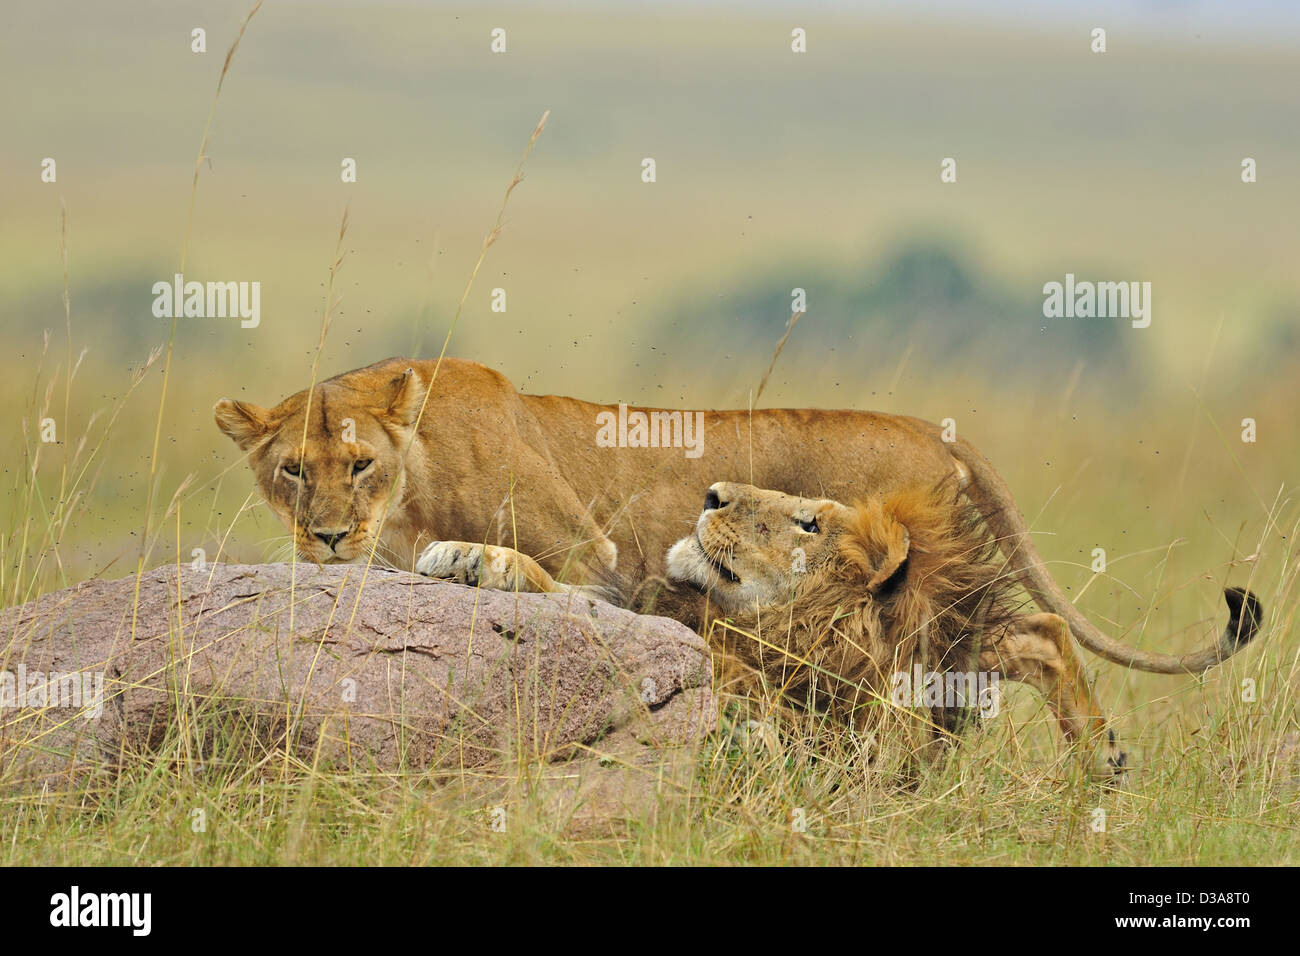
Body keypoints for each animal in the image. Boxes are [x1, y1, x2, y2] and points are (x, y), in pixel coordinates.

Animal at [215, 356, 1262, 676]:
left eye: (360, 464)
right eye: (291, 472)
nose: (329, 535)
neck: (415, 478)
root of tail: (937, 432)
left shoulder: (597, 551)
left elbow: (546, 572)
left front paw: (479, 566)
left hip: (919, 611)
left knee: (1037, 633)